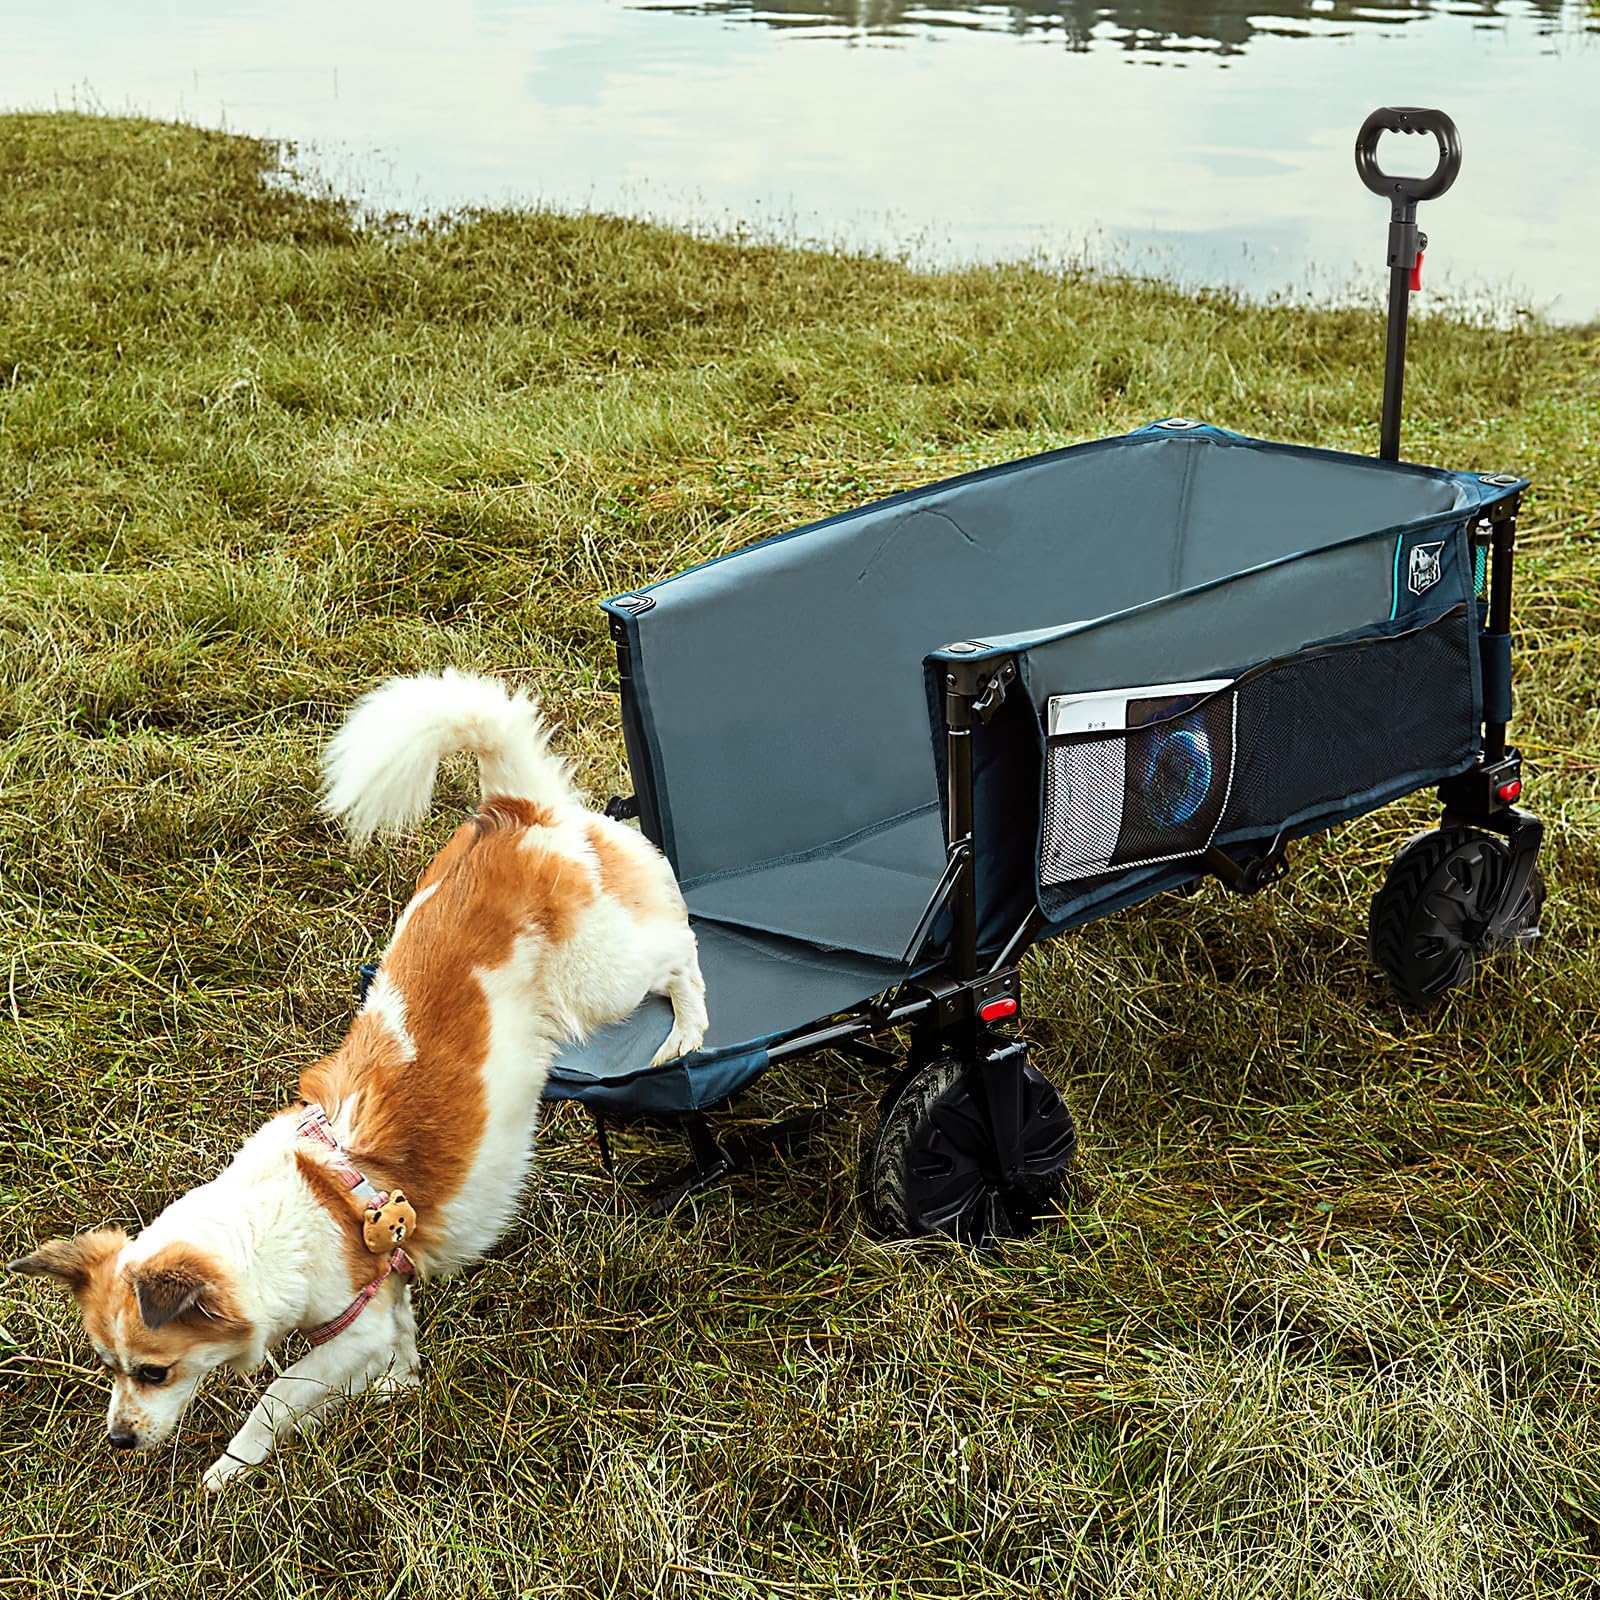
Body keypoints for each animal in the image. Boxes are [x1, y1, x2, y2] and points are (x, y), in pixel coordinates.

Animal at [6, 672, 707, 1484]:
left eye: (154, 1372)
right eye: (106, 1366)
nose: (119, 1439)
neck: (293, 1212)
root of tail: (516, 813)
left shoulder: (349, 1321)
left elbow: (277, 1396)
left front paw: (231, 1469)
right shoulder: (385, 1299)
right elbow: (399, 1343)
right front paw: (399, 1390)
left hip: (604, 980)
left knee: (680, 954)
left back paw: (689, 1031)